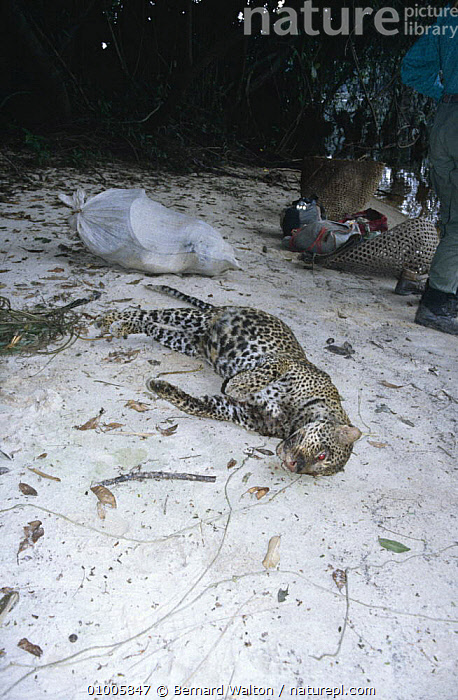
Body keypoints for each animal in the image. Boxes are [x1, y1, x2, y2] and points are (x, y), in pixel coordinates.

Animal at [98, 285, 361, 476]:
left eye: (315, 470)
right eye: (322, 455)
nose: (294, 467)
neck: (297, 416)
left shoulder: (239, 412)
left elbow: (197, 405)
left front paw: (160, 386)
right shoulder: (283, 363)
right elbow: (259, 375)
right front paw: (237, 386)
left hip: (186, 342)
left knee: (152, 326)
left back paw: (121, 326)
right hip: (195, 317)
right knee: (151, 313)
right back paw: (110, 319)